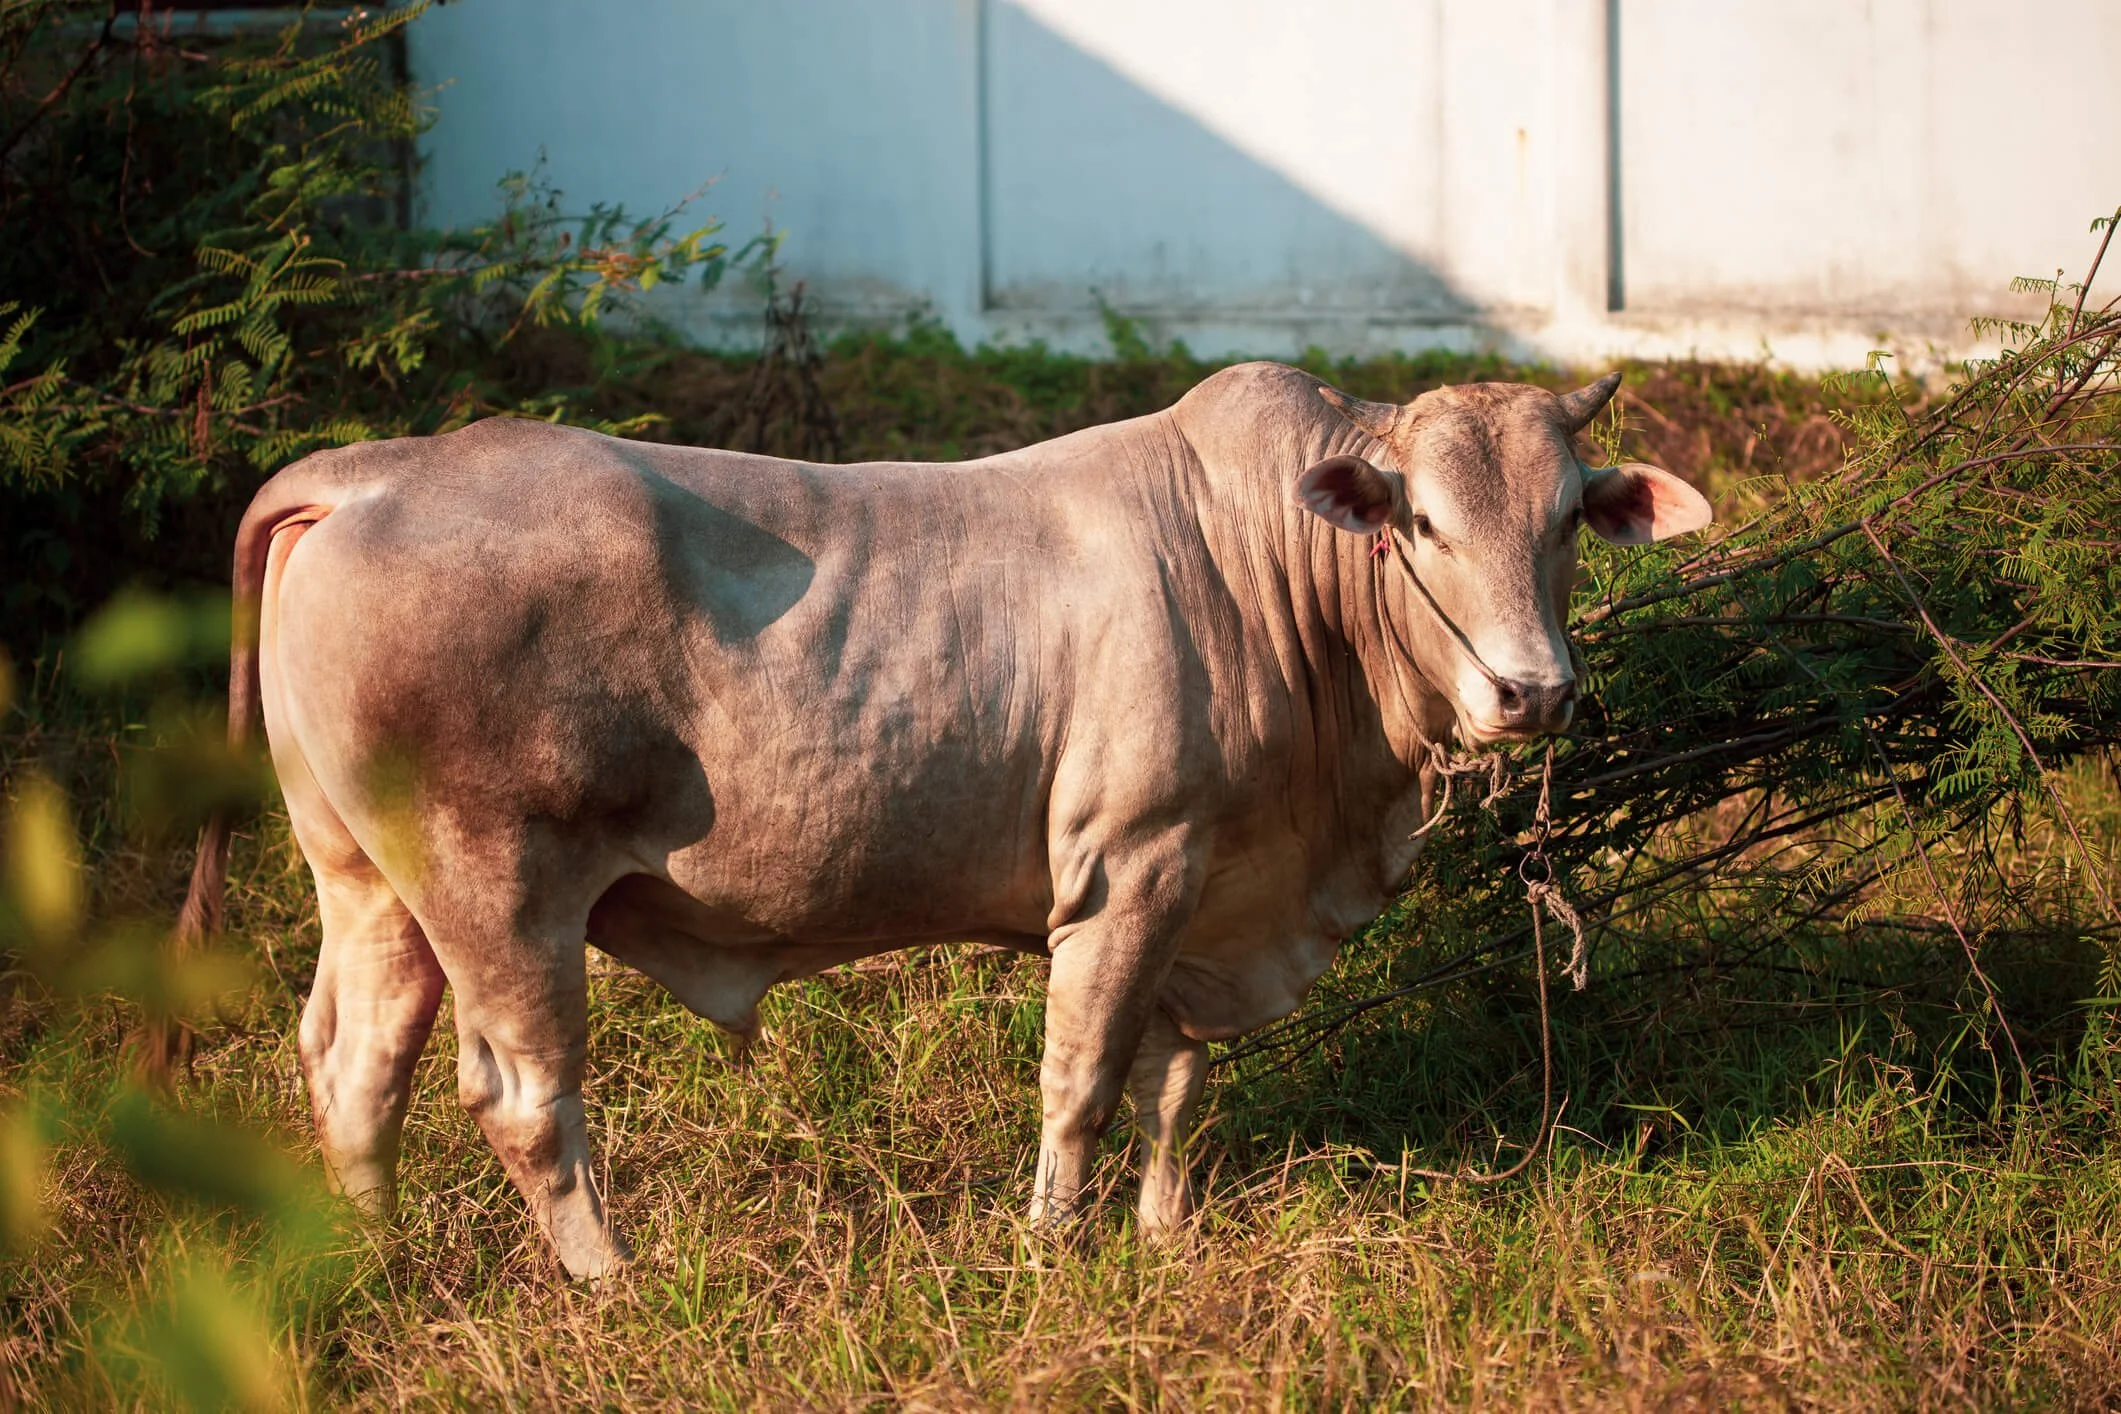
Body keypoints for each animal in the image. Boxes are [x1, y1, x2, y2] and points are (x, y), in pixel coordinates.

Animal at [169, 362, 1710, 1277]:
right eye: (1422, 523)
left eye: (1566, 521)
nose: (1533, 691)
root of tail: (374, 469)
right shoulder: (1126, 869)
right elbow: (1083, 1077)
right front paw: (1049, 1247)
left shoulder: (1206, 889)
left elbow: (1176, 1077)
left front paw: (1161, 1235)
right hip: (499, 895)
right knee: (523, 1096)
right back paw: (610, 1281)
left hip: (371, 885)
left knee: (353, 1061)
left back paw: (366, 1256)